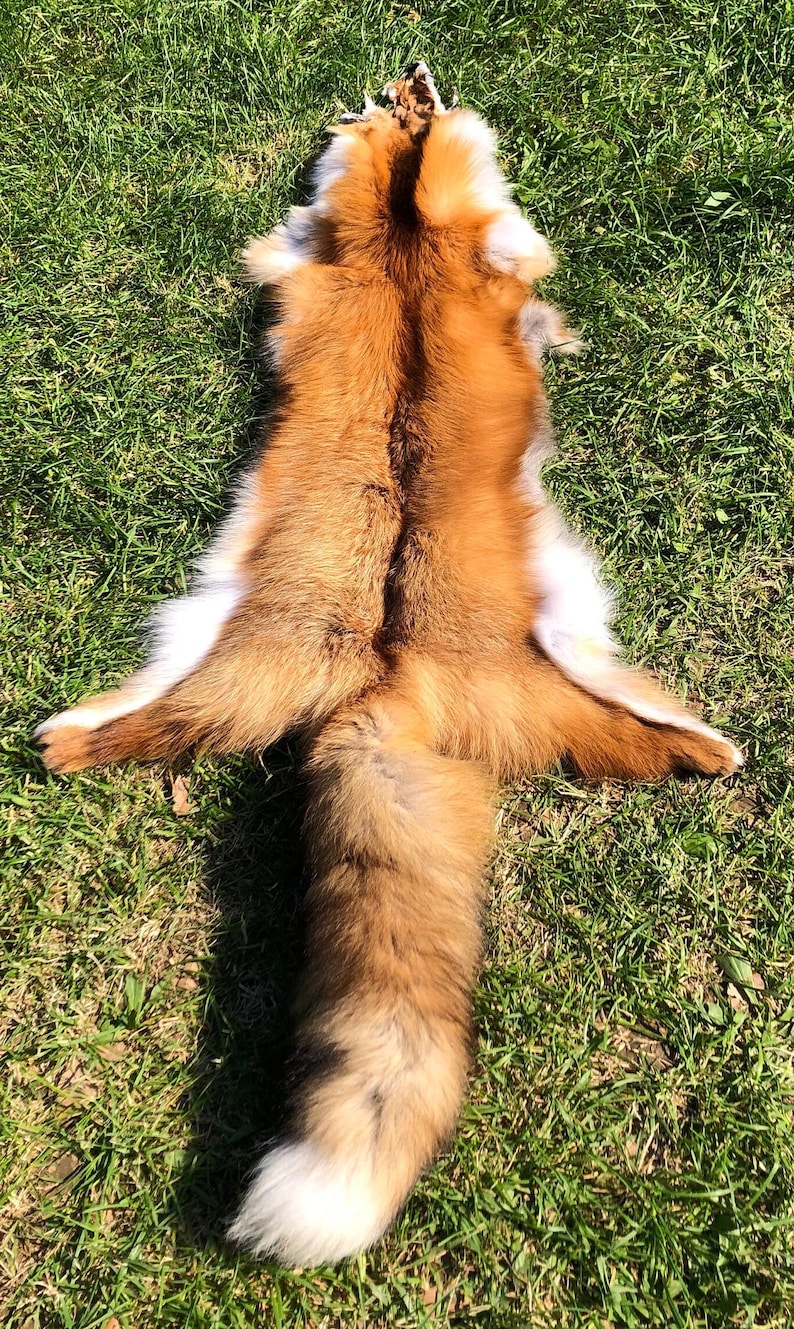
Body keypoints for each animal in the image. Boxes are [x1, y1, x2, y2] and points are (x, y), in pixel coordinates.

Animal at [35, 64, 742, 1266]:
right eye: (392, 101)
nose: (409, 70)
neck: (399, 240)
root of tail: (383, 679)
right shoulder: (473, 236)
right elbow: (491, 226)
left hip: (199, 663)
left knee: (111, 735)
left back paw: (62, 736)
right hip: (587, 680)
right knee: (665, 744)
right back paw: (720, 752)